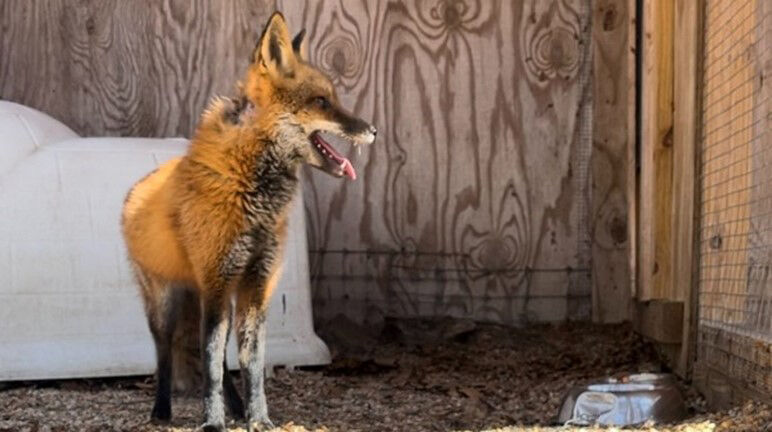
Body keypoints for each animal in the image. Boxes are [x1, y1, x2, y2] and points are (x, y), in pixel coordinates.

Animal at [121, 12, 376, 432]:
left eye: (334, 99)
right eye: (322, 101)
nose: (373, 130)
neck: (252, 196)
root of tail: (136, 189)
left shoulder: (257, 284)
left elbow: (250, 364)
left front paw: (258, 418)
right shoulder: (217, 282)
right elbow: (210, 366)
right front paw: (212, 423)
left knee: (218, 361)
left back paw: (236, 408)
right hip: (164, 304)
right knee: (165, 353)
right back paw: (162, 410)